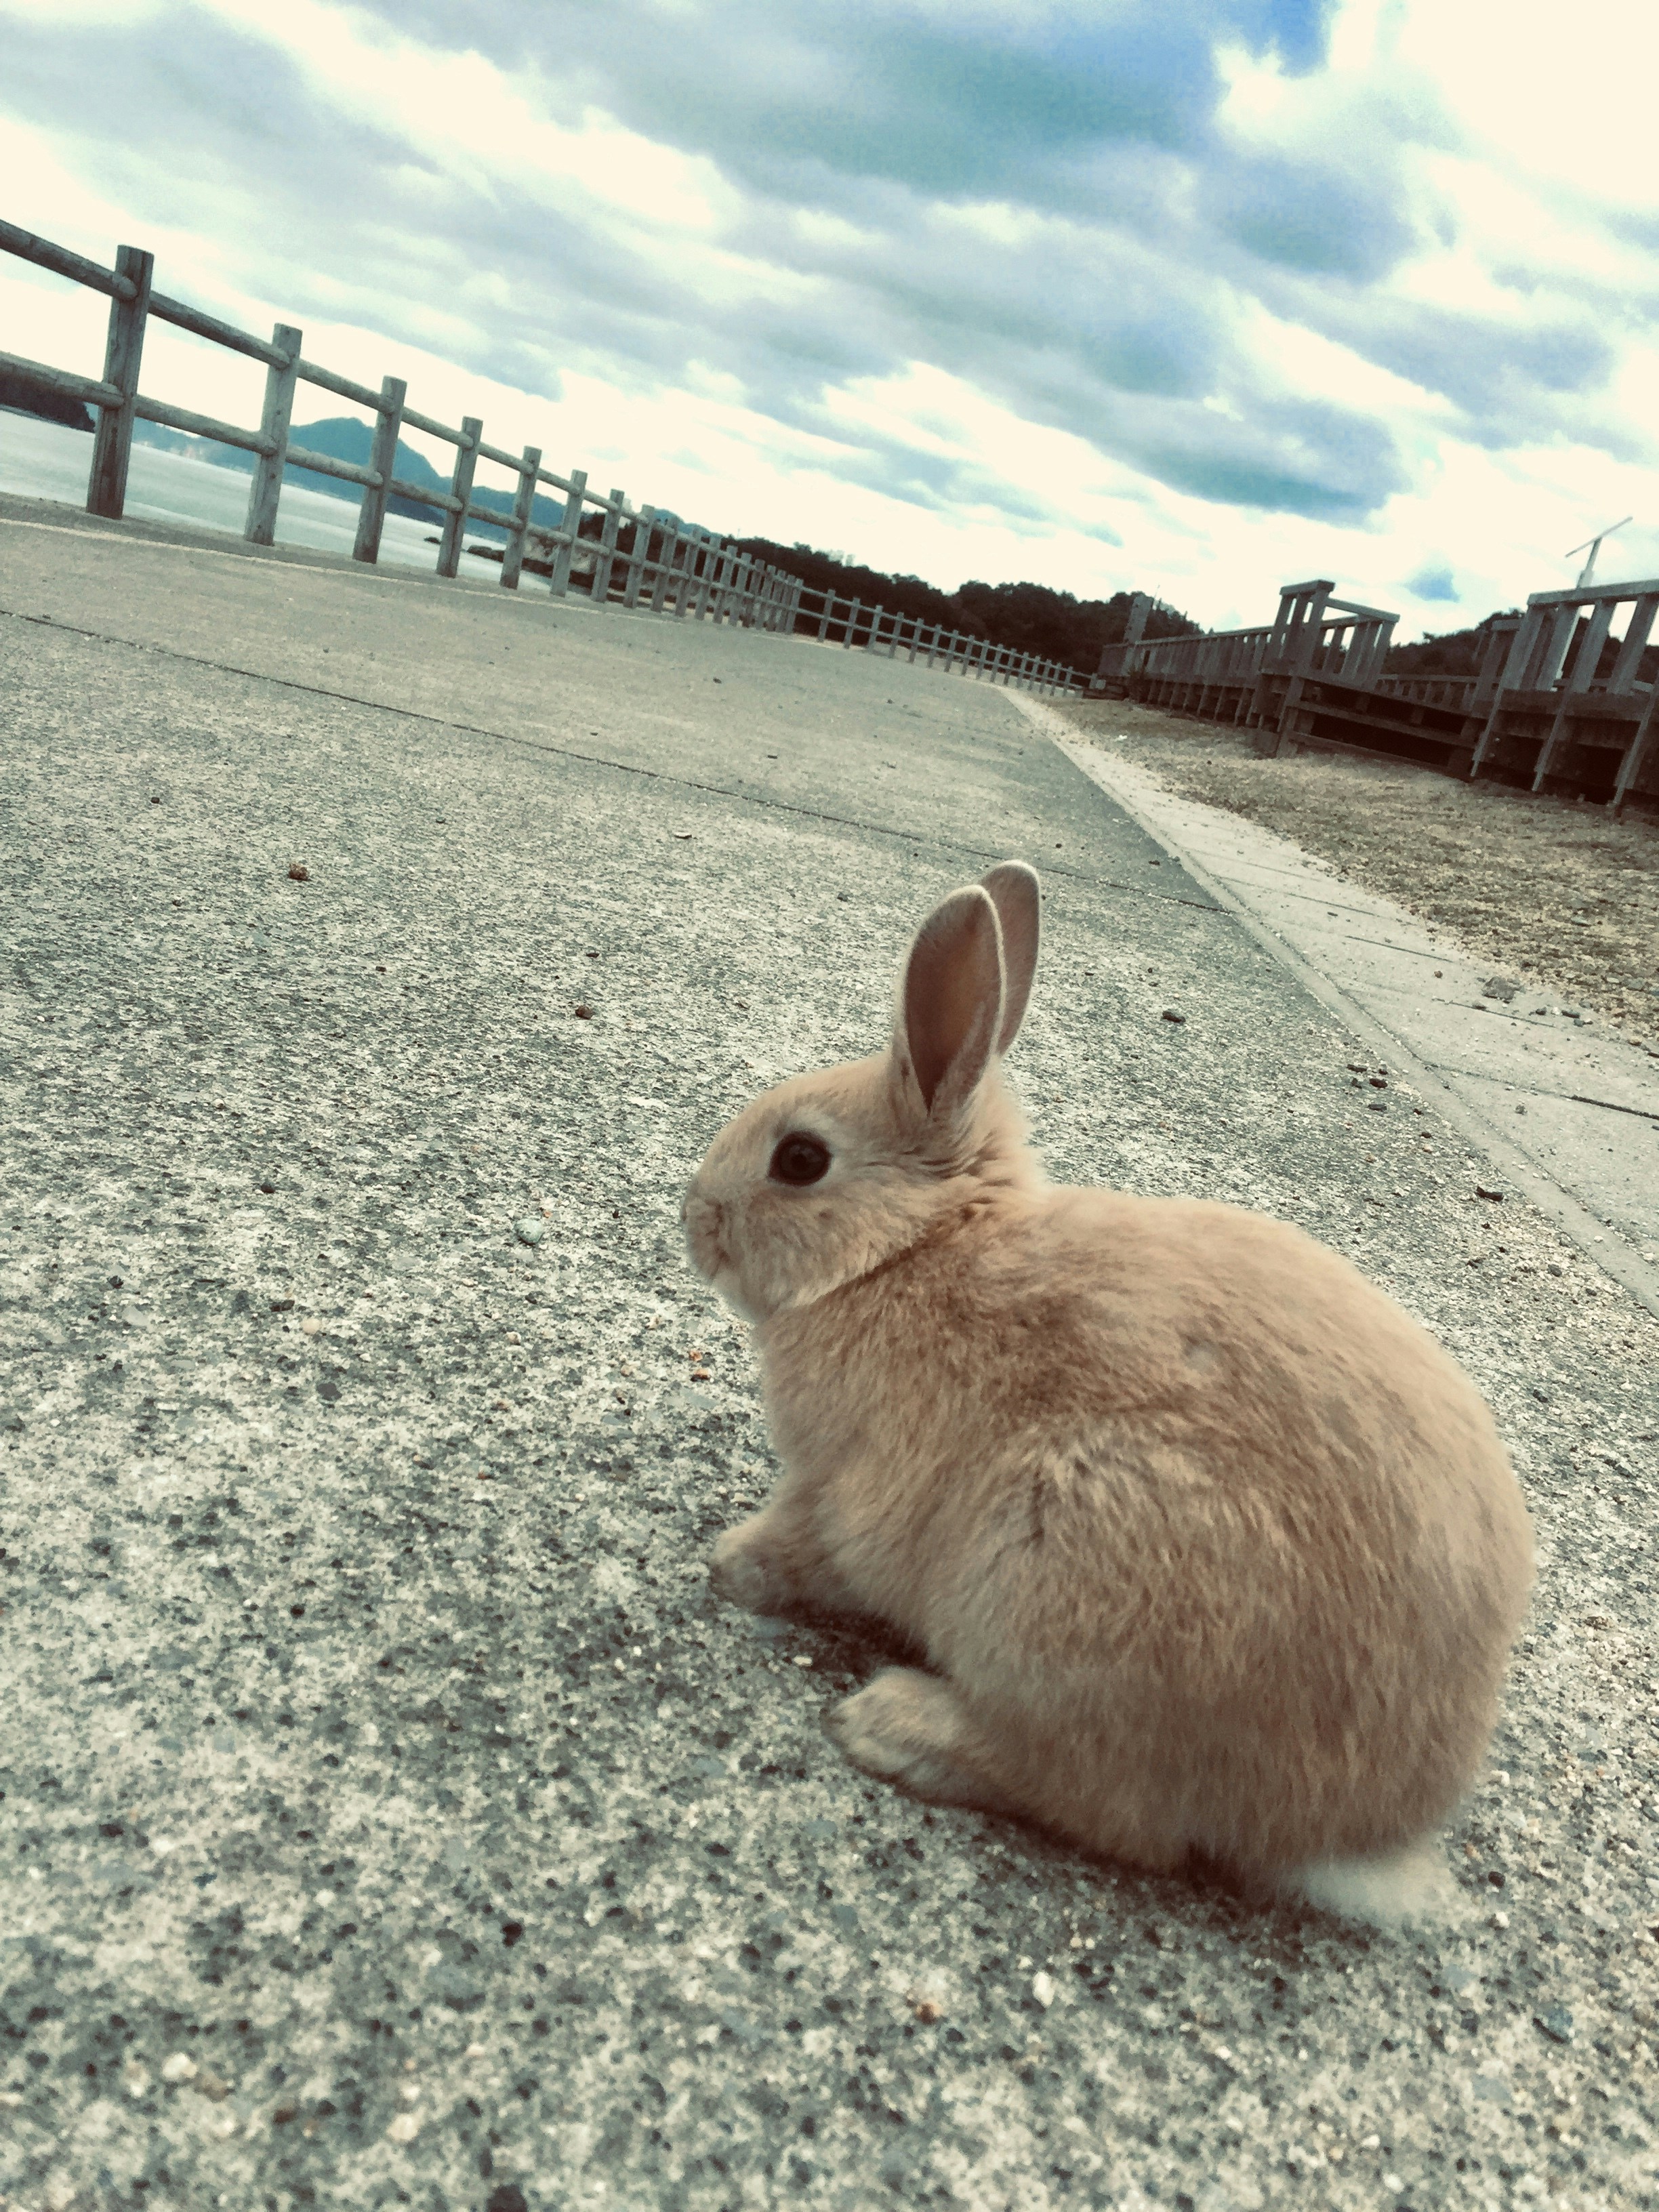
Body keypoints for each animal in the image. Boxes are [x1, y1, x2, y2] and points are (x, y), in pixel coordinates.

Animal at [682, 862, 1533, 1912]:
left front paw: (729, 1566)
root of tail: (1349, 1836)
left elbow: (805, 1545)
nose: (694, 1219)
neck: (912, 1249)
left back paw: (889, 1725)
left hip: (1060, 1578)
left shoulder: (844, 1484)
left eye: (799, 1159)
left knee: (1104, 1807)